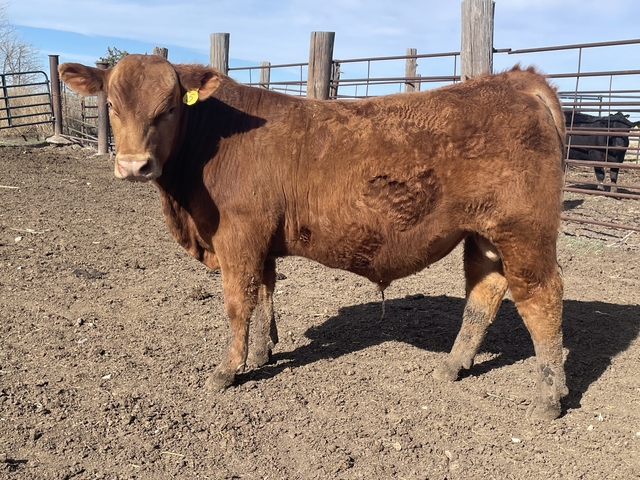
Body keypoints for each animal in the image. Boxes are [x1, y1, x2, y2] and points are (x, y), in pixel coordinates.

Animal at [59, 55, 568, 421]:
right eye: (111, 105)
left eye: (167, 109)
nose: (133, 165)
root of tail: (514, 80)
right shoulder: (262, 240)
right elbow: (265, 293)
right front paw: (262, 352)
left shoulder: (238, 235)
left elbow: (237, 302)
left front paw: (227, 370)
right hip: (483, 236)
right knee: (484, 292)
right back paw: (452, 365)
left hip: (524, 232)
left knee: (540, 298)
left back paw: (549, 398)